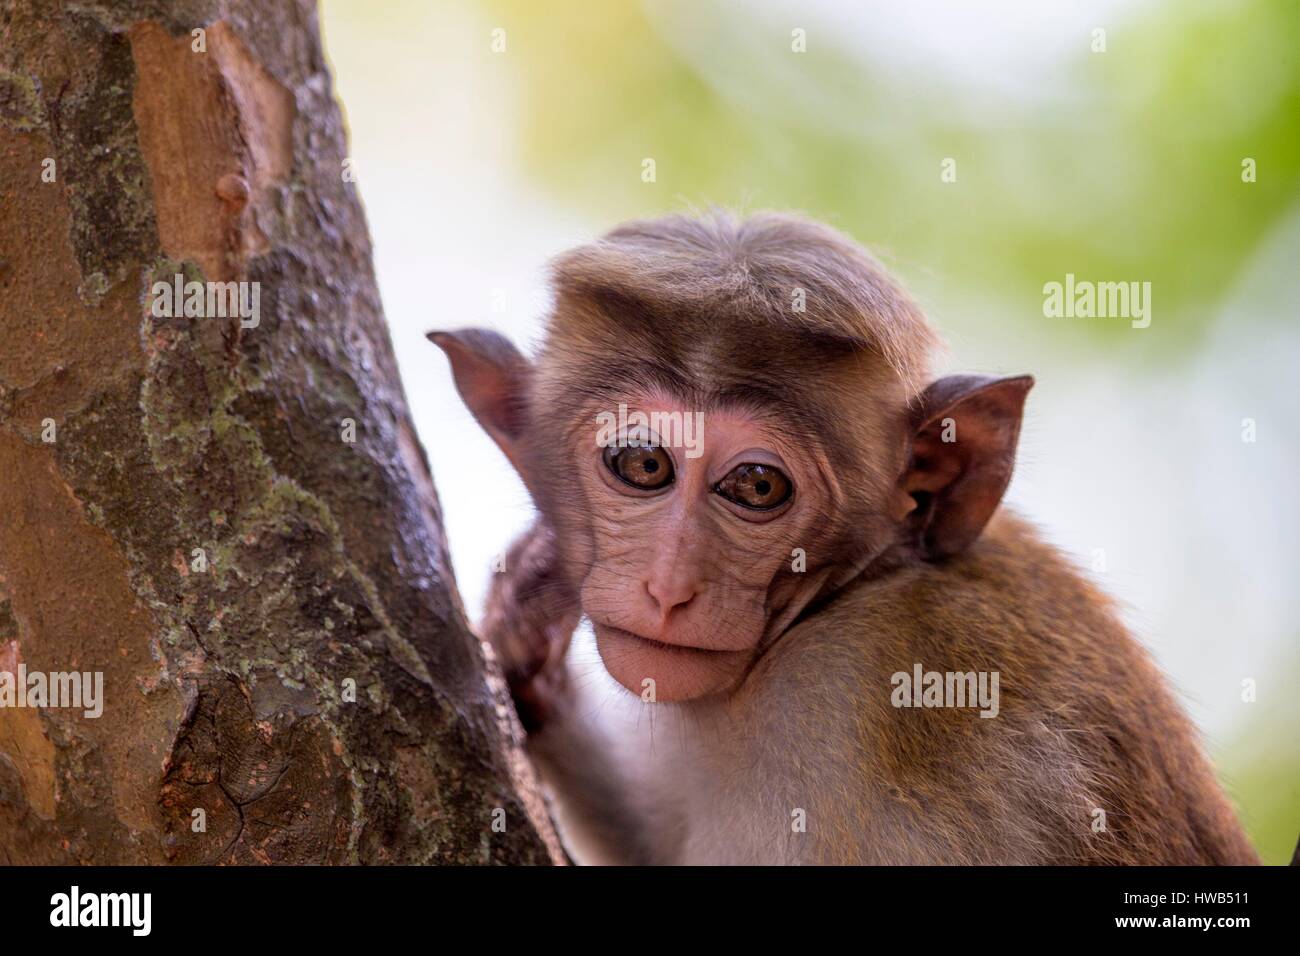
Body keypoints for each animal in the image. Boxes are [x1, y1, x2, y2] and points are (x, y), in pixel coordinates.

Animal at [429, 211, 1259, 865]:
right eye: (643, 464)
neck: (858, 587)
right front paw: (526, 646)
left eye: (756, 486)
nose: (667, 588)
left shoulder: (846, 704)